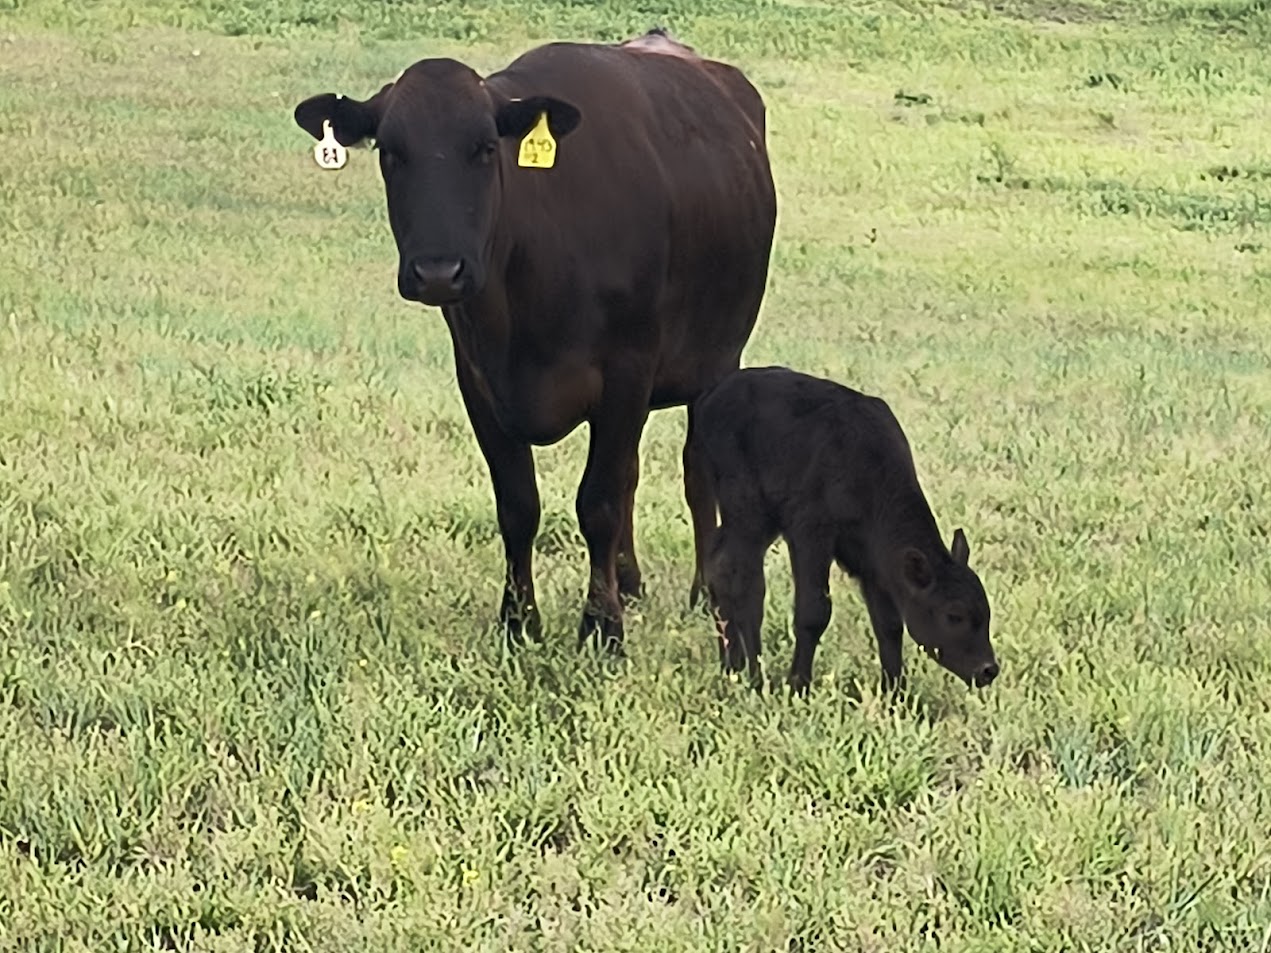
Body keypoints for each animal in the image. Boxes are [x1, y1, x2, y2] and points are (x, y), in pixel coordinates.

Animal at [293, 28, 778, 654]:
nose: (438, 272)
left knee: (696, 477)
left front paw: (602, 628)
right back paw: (629, 582)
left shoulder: (627, 369)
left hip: (716, 363)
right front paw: (519, 622)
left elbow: (598, 501)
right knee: (632, 474)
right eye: (390, 152)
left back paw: (702, 594)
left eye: (485, 149)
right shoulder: (478, 380)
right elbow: (519, 504)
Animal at [687, 366, 1000, 694]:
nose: (988, 670)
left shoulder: (873, 560)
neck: (866, 467)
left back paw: (731, 665)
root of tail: (711, 395)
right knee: (745, 584)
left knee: (717, 565)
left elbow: (889, 625)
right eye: (954, 615)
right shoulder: (811, 533)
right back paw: (756, 676)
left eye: (986, 613)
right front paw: (798, 684)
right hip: (747, 509)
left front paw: (895, 691)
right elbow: (814, 611)